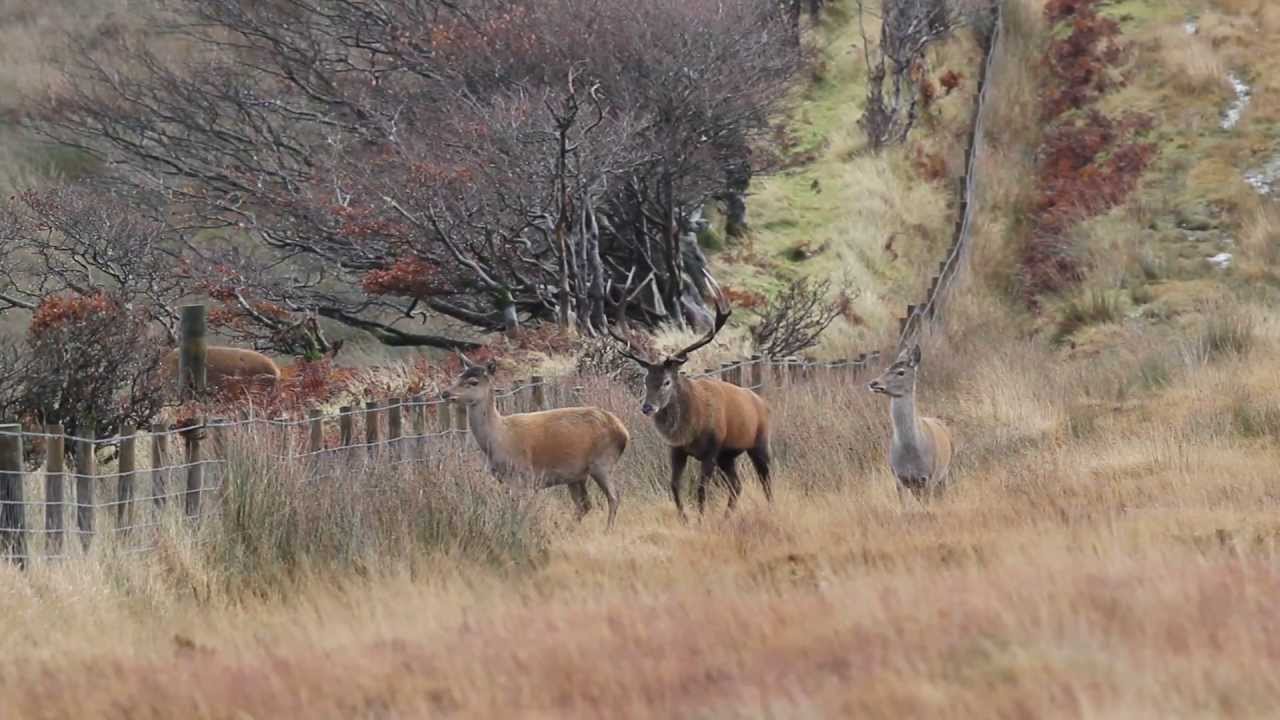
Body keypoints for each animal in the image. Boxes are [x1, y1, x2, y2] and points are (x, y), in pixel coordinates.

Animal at [441, 354, 630, 531]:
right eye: (458, 376)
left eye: (473, 382)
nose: (445, 393)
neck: (497, 440)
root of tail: (623, 432)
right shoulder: (505, 479)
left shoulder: (524, 475)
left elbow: (521, 510)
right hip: (576, 475)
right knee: (584, 505)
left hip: (602, 461)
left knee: (613, 497)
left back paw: (607, 530)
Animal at [609, 302, 773, 521]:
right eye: (645, 380)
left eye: (666, 381)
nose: (647, 407)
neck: (690, 430)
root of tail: (762, 403)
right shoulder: (676, 450)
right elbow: (674, 485)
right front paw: (684, 518)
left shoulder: (712, 449)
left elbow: (701, 489)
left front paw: (700, 519)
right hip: (727, 455)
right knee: (737, 485)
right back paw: (726, 517)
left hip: (759, 442)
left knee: (766, 480)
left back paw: (769, 508)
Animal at [867, 344, 954, 504]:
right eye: (886, 369)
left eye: (901, 372)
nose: (873, 383)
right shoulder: (899, 478)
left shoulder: (927, 477)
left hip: (945, 471)